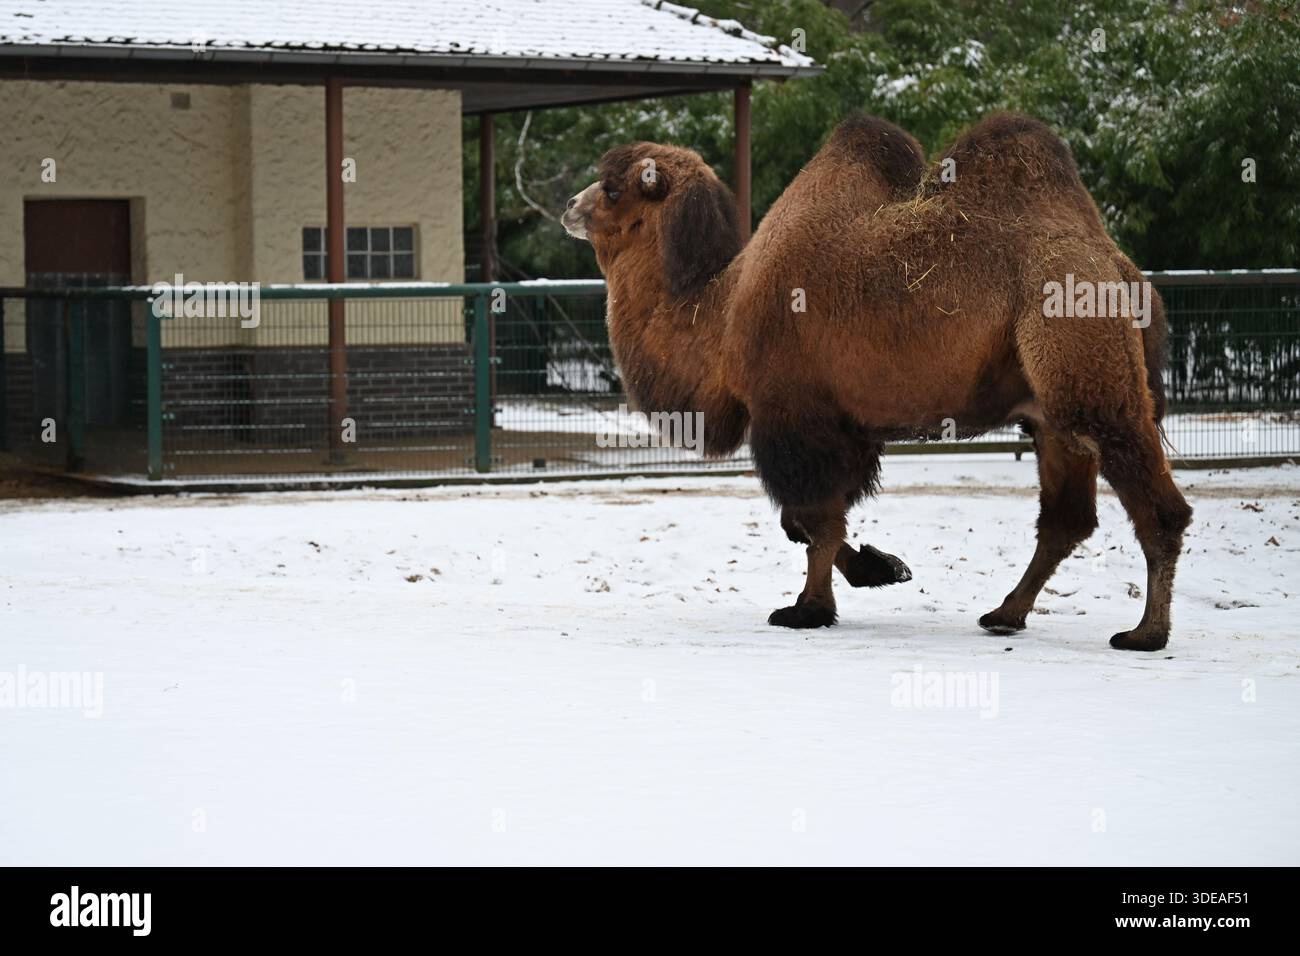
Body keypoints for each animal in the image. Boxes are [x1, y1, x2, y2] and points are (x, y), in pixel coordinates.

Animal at [562, 112, 1191, 651]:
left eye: (613, 188)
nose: (569, 205)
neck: (719, 315)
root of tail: (1120, 268)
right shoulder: (846, 425)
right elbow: (808, 521)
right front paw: (881, 568)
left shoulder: (790, 412)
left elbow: (813, 518)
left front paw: (808, 609)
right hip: (1047, 411)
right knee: (1067, 516)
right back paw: (1005, 613)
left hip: (1080, 354)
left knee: (1151, 495)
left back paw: (1145, 632)